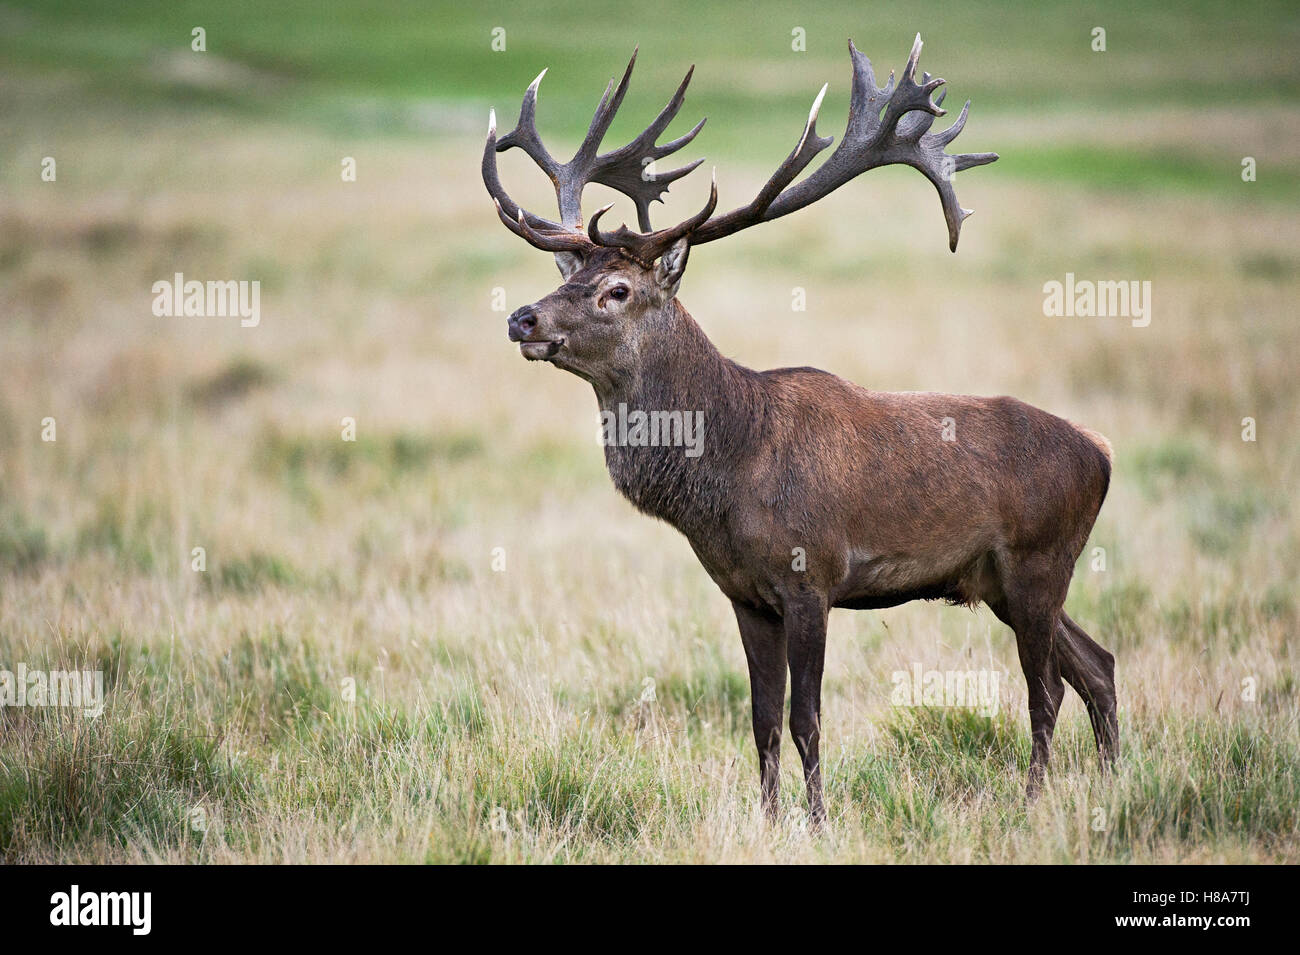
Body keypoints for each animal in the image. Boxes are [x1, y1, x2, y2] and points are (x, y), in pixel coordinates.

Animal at [481, 34, 1118, 823]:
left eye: (617, 290)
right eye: (567, 274)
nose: (522, 318)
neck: (727, 475)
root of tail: (1103, 453)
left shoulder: (812, 574)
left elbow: (807, 716)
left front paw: (816, 823)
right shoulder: (744, 594)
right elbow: (760, 719)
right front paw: (768, 818)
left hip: (1039, 559)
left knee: (1048, 687)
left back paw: (1034, 801)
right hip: (1002, 580)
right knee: (1099, 665)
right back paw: (1114, 783)